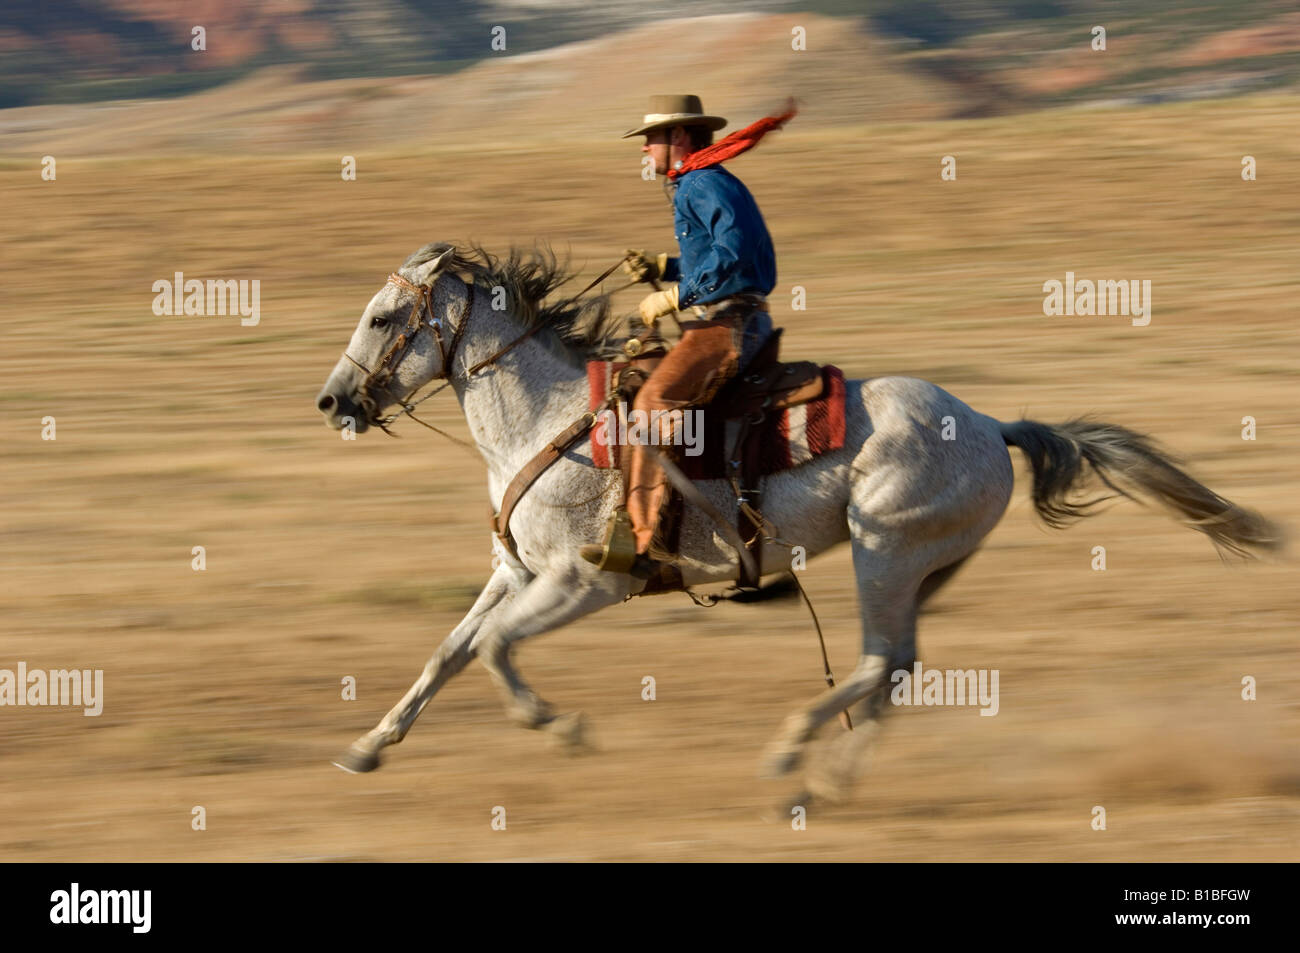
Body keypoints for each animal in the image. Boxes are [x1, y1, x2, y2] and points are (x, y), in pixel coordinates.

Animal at [314, 241, 1281, 804]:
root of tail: (989, 423)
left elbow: (493, 649)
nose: (332, 402)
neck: (548, 418)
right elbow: (450, 650)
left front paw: (563, 728)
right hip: (915, 566)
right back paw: (825, 783)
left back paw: (790, 760)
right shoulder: (516, 573)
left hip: (882, 551)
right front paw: (367, 746)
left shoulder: (584, 581)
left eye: (383, 315)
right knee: (896, 670)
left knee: (879, 662)